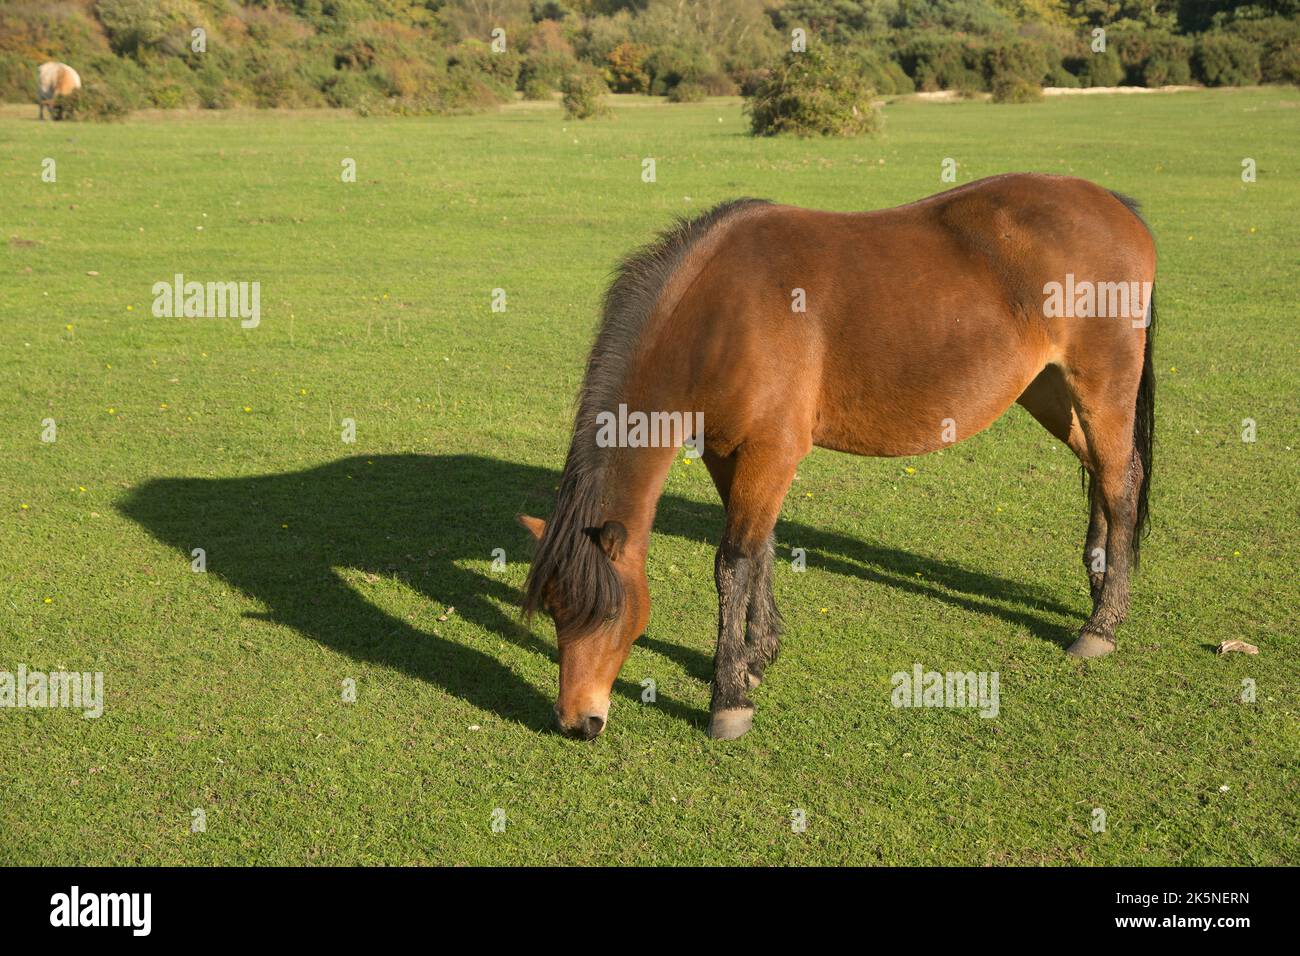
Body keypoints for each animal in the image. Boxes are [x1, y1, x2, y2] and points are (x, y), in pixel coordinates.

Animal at [519, 173, 1156, 741]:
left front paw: (729, 698)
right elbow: (761, 549)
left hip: (1100, 386)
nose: (576, 722)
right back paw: (1100, 578)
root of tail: (1111, 204)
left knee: (1120, 482)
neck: (724, 314)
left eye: (605, 614)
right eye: (554, 610)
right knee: (1103, 472)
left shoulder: (771, 451)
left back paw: (1101, 625)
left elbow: (734, 562)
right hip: (1049, 391)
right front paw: (758, 655)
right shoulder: (730, 453)